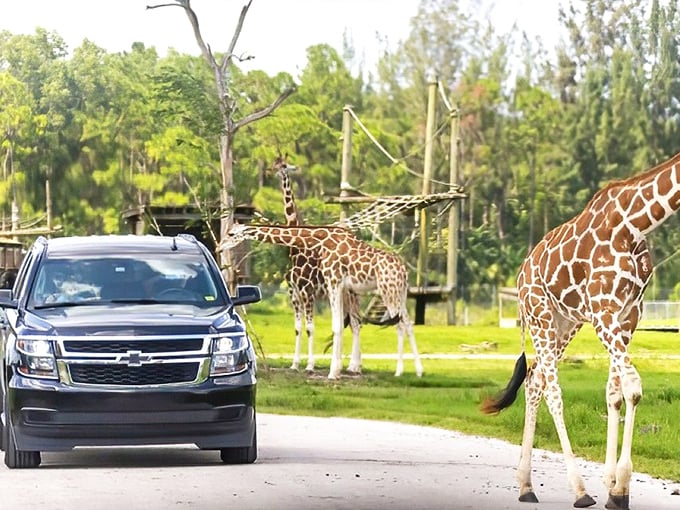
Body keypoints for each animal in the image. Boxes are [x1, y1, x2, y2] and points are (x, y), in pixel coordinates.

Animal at [221, 224, 424, 379]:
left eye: (231, 234)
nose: (220, 247)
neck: (321, 240)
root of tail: (404, 271)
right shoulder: (337, 285)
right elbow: (341, 326)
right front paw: (339, 370)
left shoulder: (333, 281)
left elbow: (336, 326)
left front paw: (333, 373)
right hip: (399, 293)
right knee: (407, 323)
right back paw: (419, 371)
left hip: (388, 290)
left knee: (399, 325)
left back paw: (399, 371)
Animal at [270, 155, 363, 373]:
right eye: (274, 163)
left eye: (283, 165)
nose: (272, 171)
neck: (295, 251)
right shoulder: (294, 293)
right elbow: (298, 328)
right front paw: (295, 364)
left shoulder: (307, 292)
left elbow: (310, 328)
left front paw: (310, 365)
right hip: (342, 295)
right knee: (352, 323)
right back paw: (349, 365)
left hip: (351, 294)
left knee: (356, 324)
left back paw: (353, 366)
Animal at [480, 151, 680, 509]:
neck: (636, 225)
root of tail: (520, 276)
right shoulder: (604, 311)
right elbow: (633, 387)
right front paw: (619, 487)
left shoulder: (628, 314)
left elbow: (615, 392)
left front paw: (614, 488)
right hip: (541, 317)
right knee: (552, 390)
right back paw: (579, 490)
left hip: (565, 323)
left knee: (535, 379)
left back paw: (526, 486)